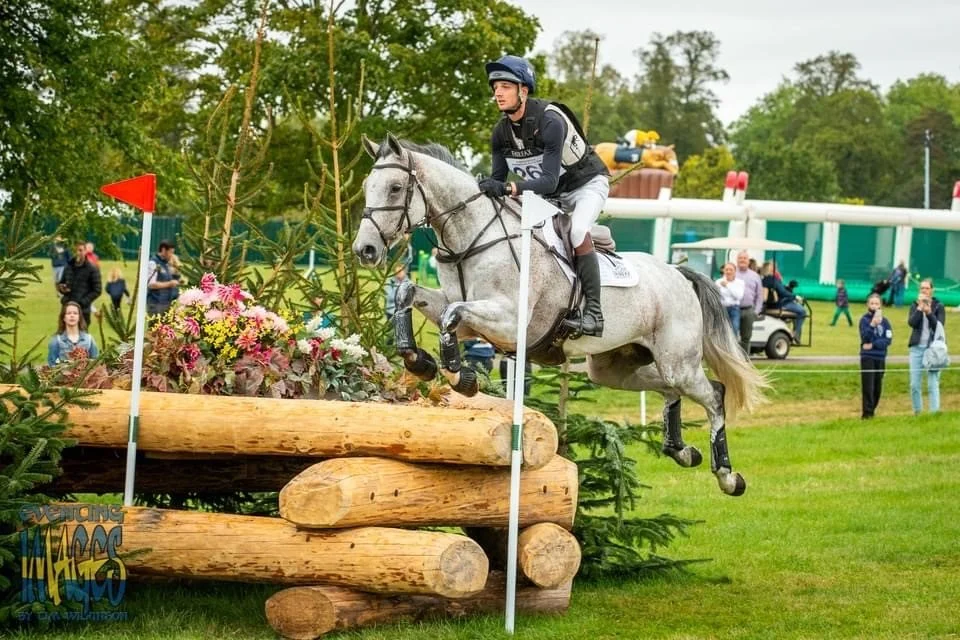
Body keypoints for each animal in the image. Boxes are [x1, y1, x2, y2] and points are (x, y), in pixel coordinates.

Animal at [353, 133, 767, 496]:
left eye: (394, 188)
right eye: (366, 186)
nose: (365, 250)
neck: (472, 240)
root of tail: (679, 274)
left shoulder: (509, 322)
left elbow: (453, 316)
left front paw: (461, 377)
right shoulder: (468, 319)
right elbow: (410, 294)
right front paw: (418, 360)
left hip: (677, 360)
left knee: (713, 395)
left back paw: (728, 476)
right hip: (615, 367)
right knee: (668, 389)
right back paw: (681, 450)